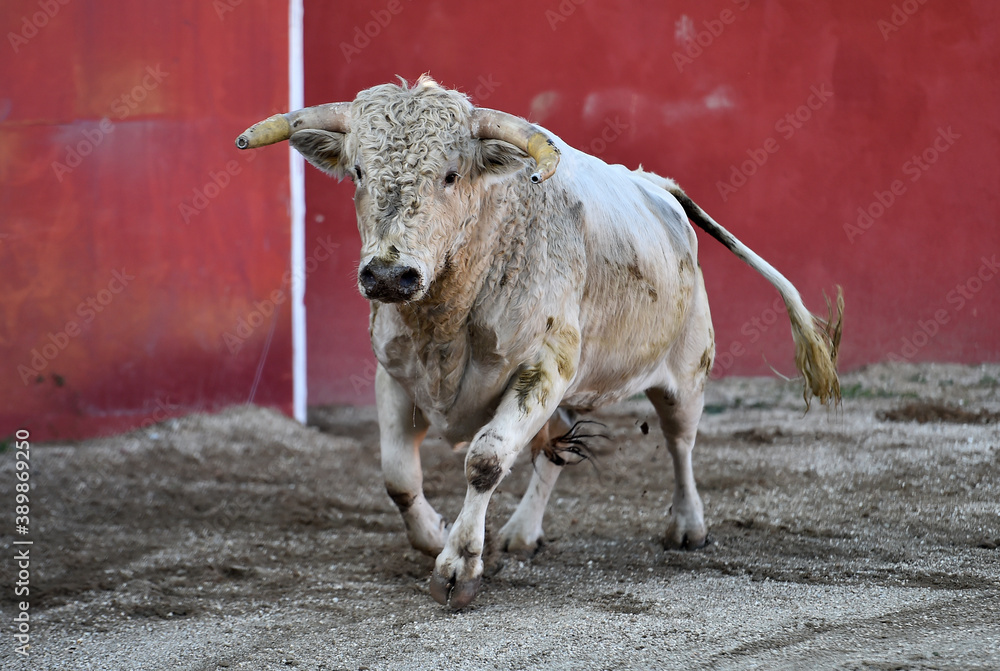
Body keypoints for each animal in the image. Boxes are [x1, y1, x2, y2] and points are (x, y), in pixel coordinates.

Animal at [236, 76, 843, 609]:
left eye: (451, 175)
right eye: (360, 171)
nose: (388, 275)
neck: (446, 319)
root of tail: (657, 186)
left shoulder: (543, 367)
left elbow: (485, 460)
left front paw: (457, 568)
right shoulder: (395, 374)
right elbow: (398, 476)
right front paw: (434, 535)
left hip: (687, 371)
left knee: (681, 444)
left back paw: (687, 527)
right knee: (554, 457)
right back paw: (522, 533)